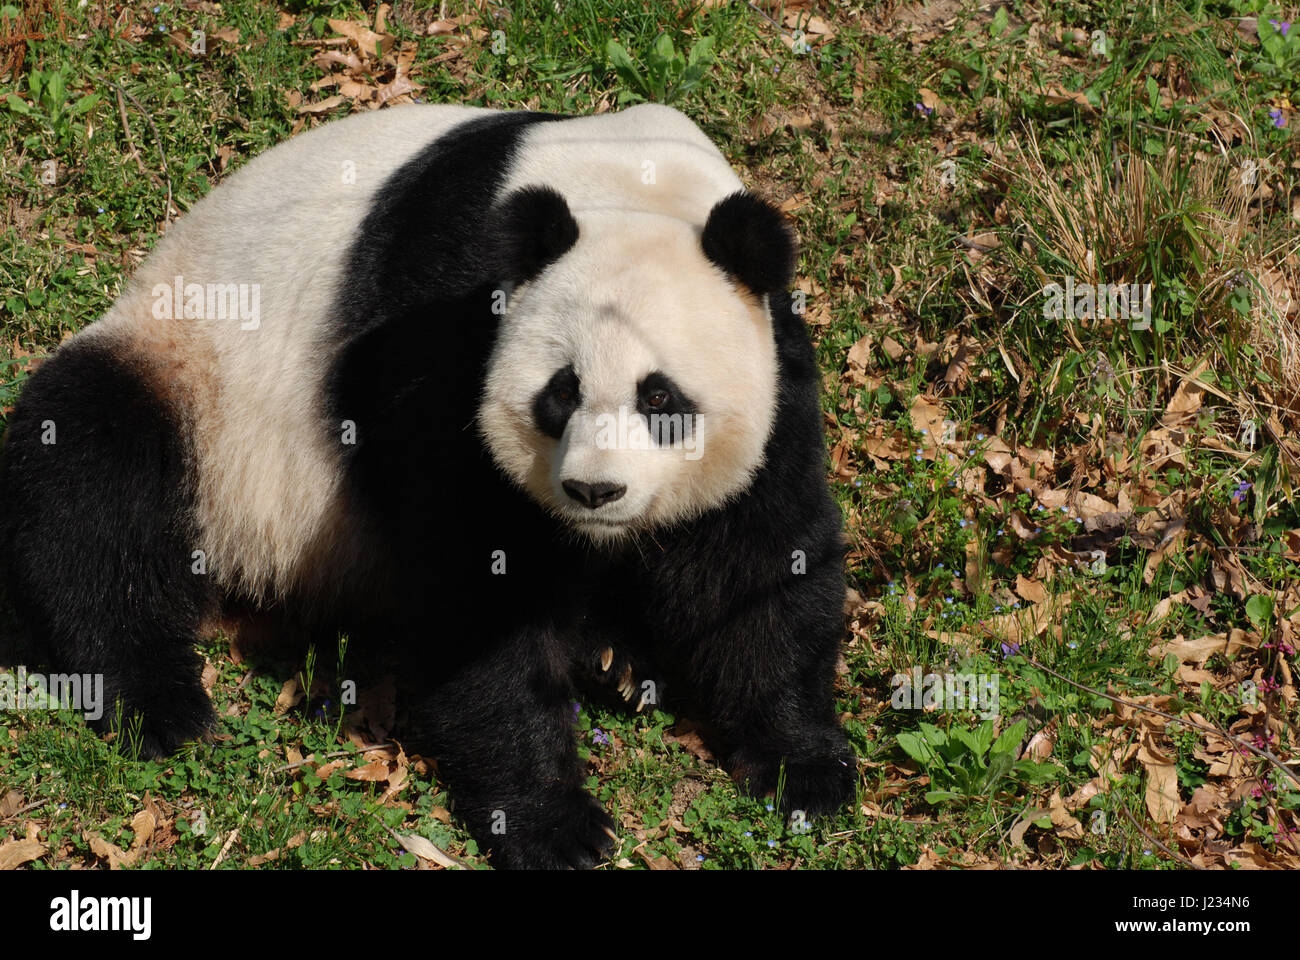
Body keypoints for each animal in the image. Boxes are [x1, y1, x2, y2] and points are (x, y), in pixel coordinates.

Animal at [0, 103, 855, 868]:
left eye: (661, 399)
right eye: (561, 393)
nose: (594, 491)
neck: (627, 183)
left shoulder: (777, 359)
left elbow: (759, 559)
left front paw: (805, 767)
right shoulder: (447, 322)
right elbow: (473, 579)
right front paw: (554, 822)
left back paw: (618, 662)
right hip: (189, 375)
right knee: (92, 473)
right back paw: (162, 701)